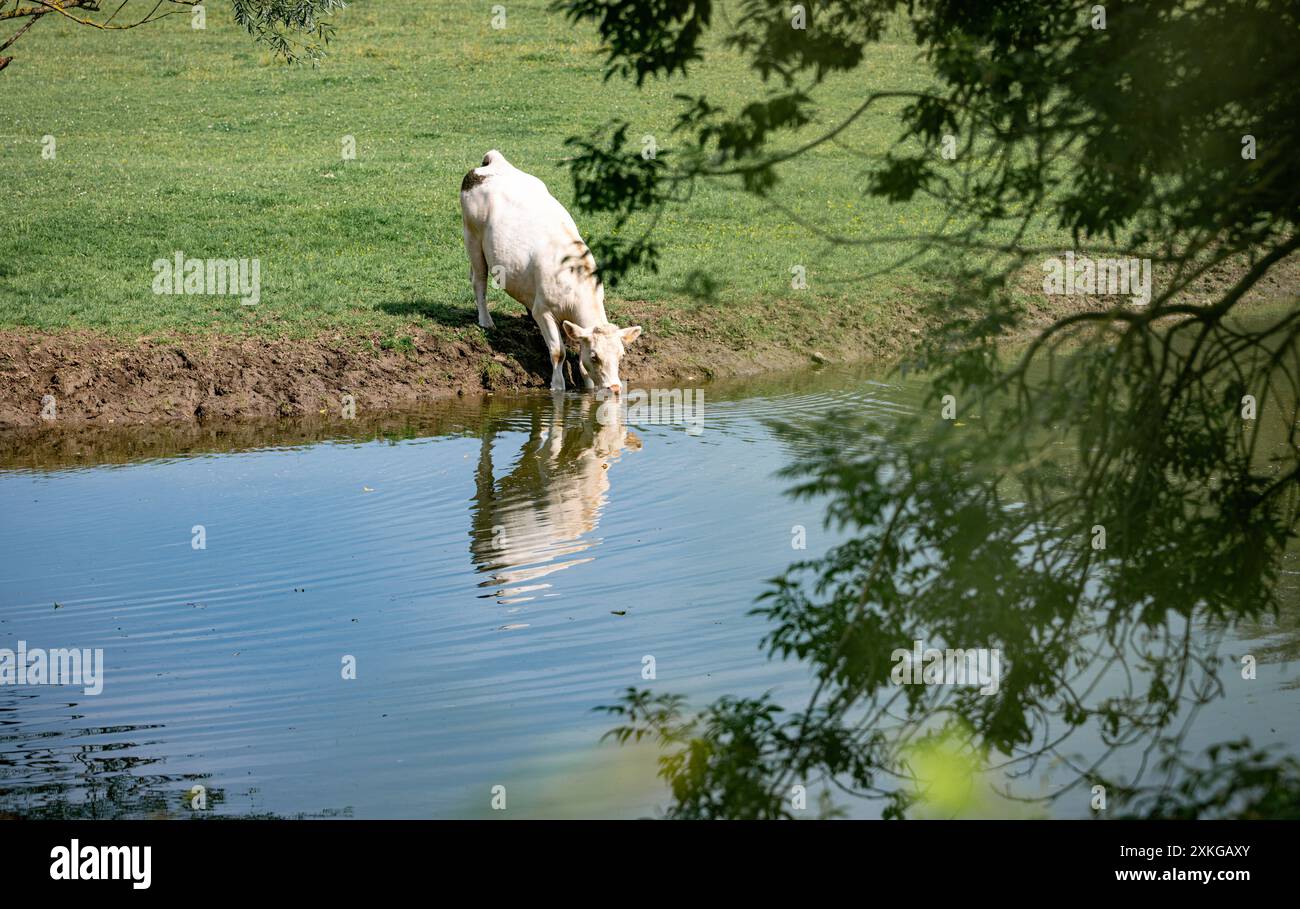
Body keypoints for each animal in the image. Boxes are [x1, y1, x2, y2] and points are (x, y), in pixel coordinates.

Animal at [458, 150, 643, 394]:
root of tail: (495, 162)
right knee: (479, 280)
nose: (614, 387)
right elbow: (558, 352)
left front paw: (588, 387)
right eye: (595, 357)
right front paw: (557, 385)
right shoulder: (543, 311)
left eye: (621, 355)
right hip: (472, 237)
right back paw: (486, 320)